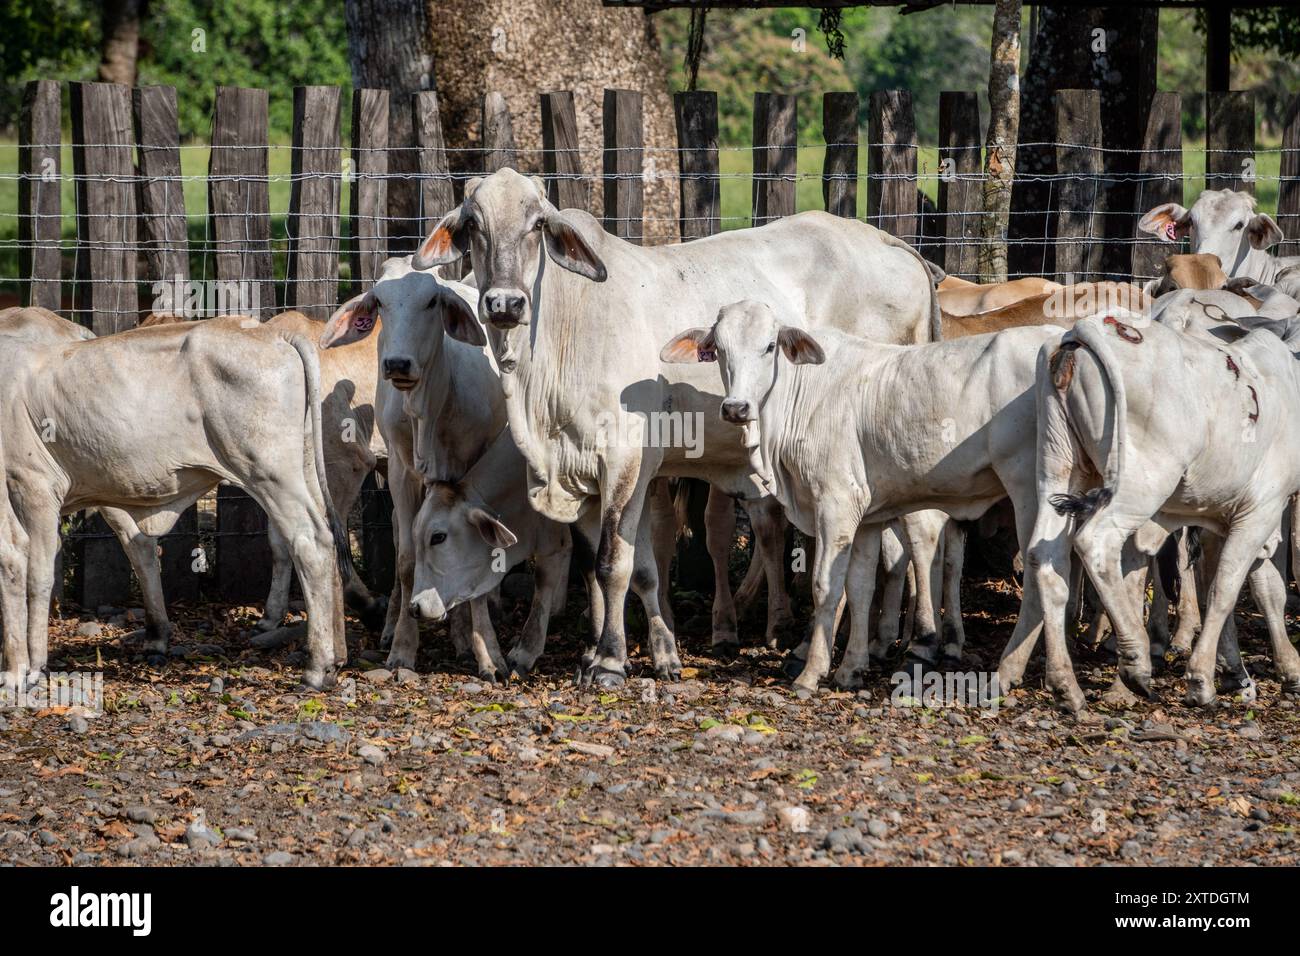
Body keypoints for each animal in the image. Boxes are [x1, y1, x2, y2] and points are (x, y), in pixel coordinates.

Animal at [0, 315, 349, 691]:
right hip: (303, 466)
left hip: (270, 472)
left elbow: (32, 573)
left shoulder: (34, 485)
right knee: (323, 537)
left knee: (310, 542)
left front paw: (28, 669)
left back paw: (316, 668)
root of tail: (273, 334)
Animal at [411, 168, 942, 687]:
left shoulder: (624, 462)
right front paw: (634, 654)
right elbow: (627, 566)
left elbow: (613, 563)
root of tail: (892, 242)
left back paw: (912, 642)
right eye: (473, 224)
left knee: (911, 533)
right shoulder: (591, 477)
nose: (505, 304)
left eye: (538, 225)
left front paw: (608, 662)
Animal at [661, 299, 1062, 693]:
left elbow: (825, 585)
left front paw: (812, 671)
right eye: (718, 348)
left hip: (1029, 492)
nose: (736, 407)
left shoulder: (835, 504)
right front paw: (850, 669)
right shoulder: (867, 516)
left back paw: (999, 668)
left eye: (770, 346)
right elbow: (860, 587)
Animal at [1025, 310, 1300, 708]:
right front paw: (1201, 680)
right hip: (1141, 484)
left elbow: (1259, 589)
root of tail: (1084, 329)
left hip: (1058, 467)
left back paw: (1065, 685)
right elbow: (1225, 591)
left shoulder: (1227, 518)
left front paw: (1248, 673)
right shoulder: (1261, 510)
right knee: (1096, 544)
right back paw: (1136, 660)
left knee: (1046, 558)